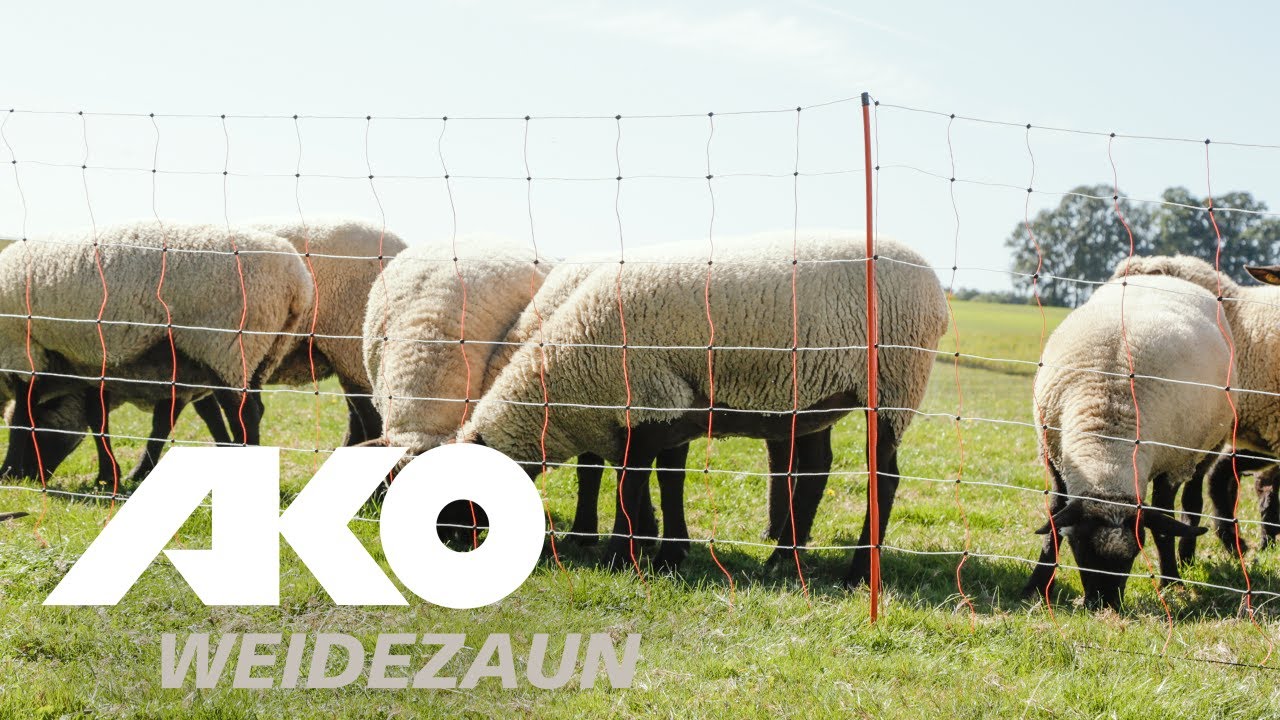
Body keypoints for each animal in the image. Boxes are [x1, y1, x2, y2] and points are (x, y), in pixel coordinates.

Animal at [0, 222, 313, 487]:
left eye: (43, 429)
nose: (32, 476)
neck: (65, 373)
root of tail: (297, 281)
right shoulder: (93, 366)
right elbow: (101, 419)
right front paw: (110, 476)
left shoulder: (21, 348)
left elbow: (24, 414)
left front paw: (8, 473)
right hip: (261, 351)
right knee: (254, 408)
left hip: (226, 345)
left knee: (244, 413)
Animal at [462, 231, 949, 583]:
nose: (454, 543)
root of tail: (938, 292)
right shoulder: (670, 410)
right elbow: (667, 479)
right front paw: (669, 551)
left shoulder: (648, 402)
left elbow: (629, 483)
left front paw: (620, 555)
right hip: (818, 397)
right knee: (814, 471)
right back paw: (782, 559)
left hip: (894, 383)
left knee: (883, 479)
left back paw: (858, 572)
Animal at [1022, 273, 1229, 609]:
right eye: (1080, 547)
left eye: (1135, 551)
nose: (1104, 605)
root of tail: (1162, 275)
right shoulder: (1054, 460)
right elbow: (1054, 519)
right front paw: (1036, 586)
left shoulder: (1171, 464)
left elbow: (1163, 524)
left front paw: (1172, 582)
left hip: (1209, 445)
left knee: (1193, 498)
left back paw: (1185, 558)